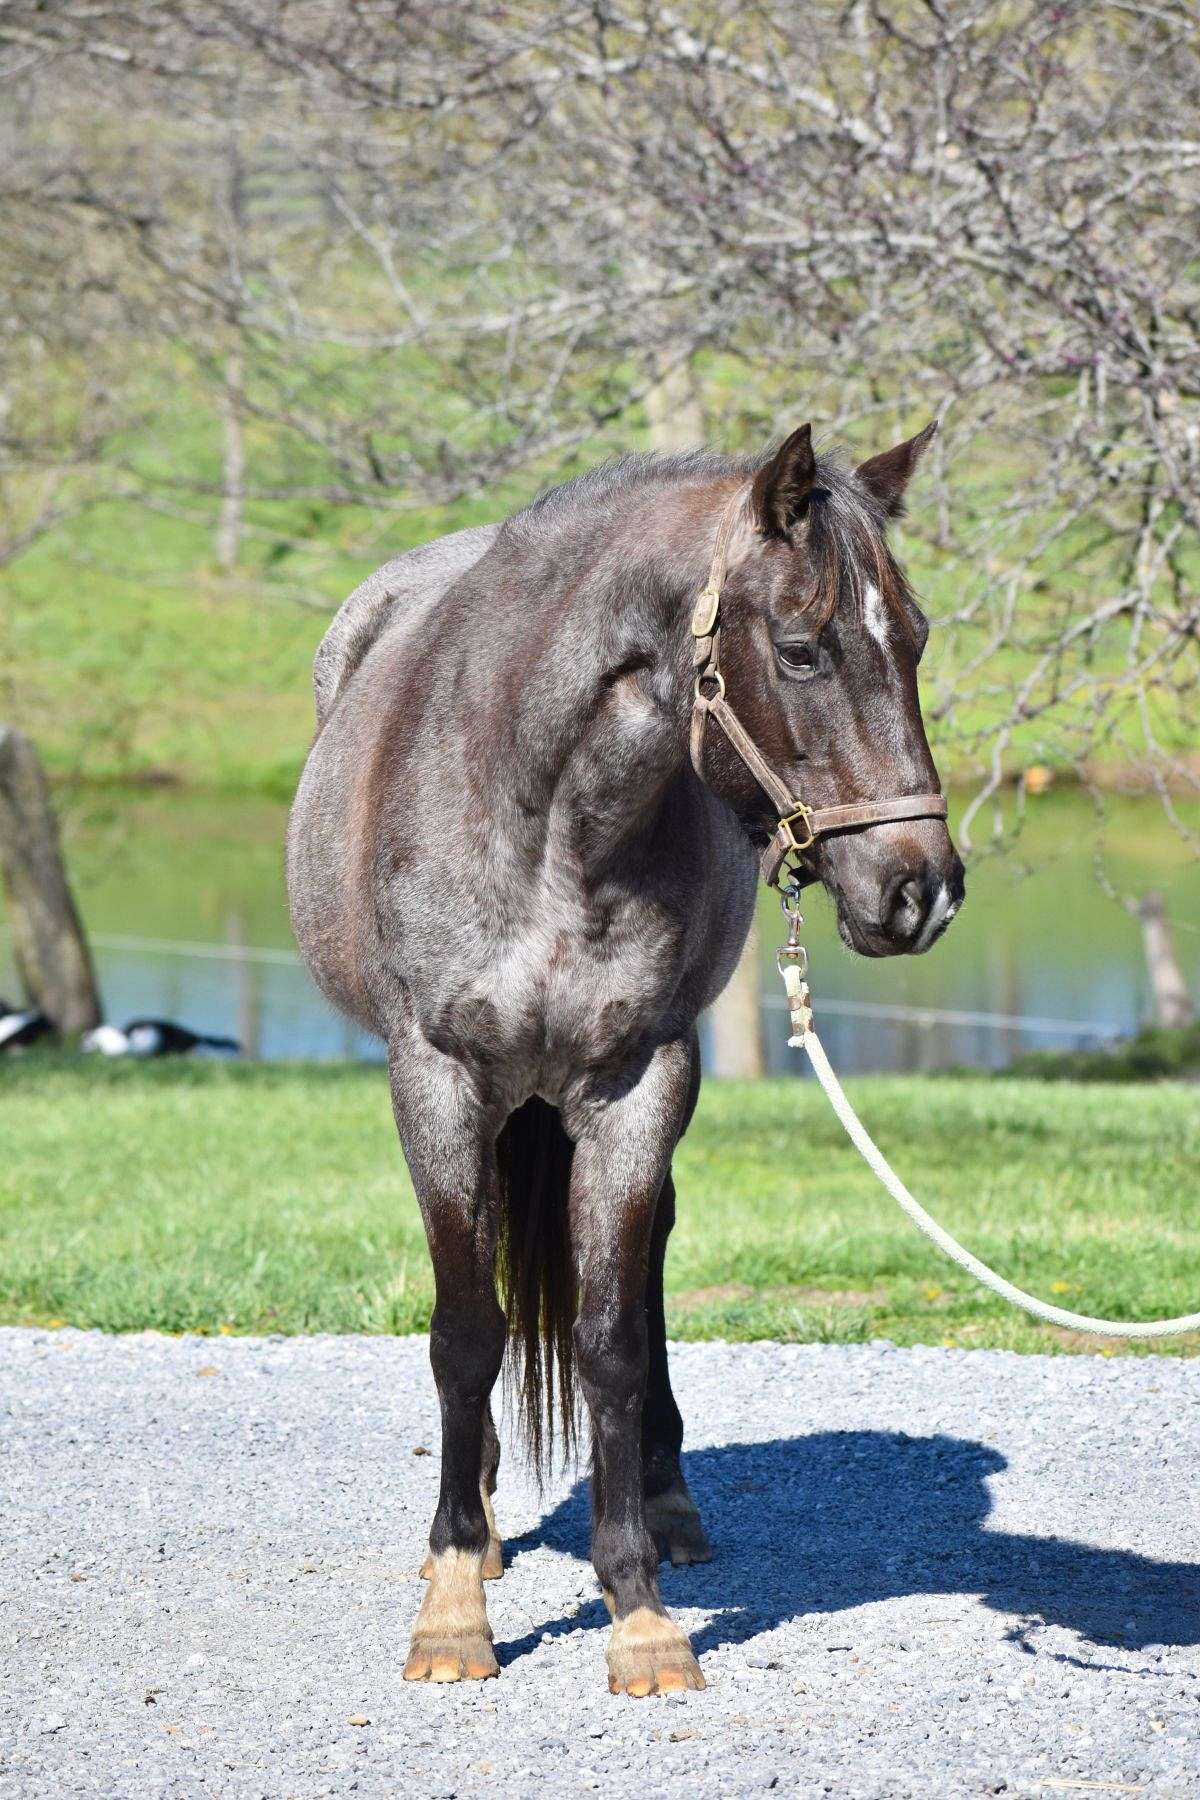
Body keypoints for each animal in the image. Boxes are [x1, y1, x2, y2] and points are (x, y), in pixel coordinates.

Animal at [286, 419, 965, 1698]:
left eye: (915, 639)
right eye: (802, 649)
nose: (922, 891)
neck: (548, 827)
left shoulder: (638, 1084)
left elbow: (609, 1336)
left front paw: (639, 1611)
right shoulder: (439, 1082)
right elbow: (465, 1333)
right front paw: (452, 1603)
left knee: (643, 1270)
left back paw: (665, 1498)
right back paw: (484, 1524)